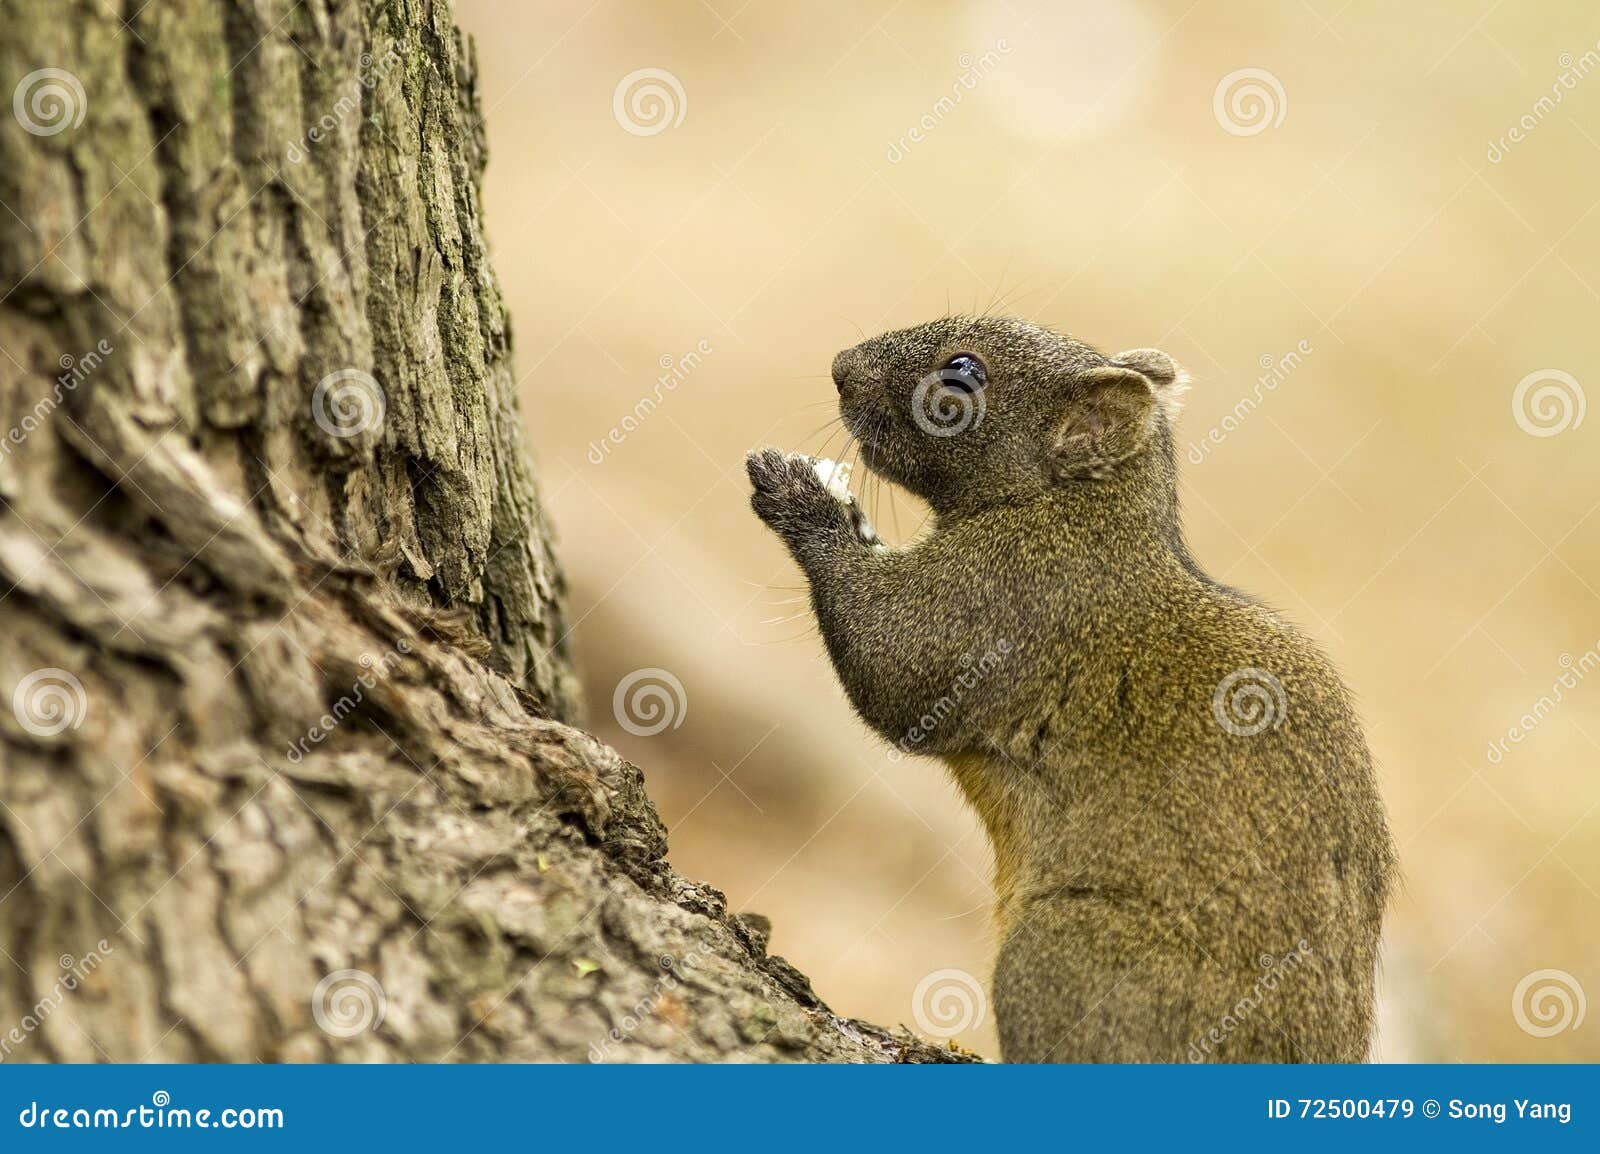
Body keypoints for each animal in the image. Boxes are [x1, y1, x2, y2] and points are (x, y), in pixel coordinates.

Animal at [745, 315, 1394, 1063]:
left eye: (964, 371)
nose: (840, 367)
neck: (1071, 506)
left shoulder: (999, 607)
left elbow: (894, 668)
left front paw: (801, 493)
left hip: (1063, 955)